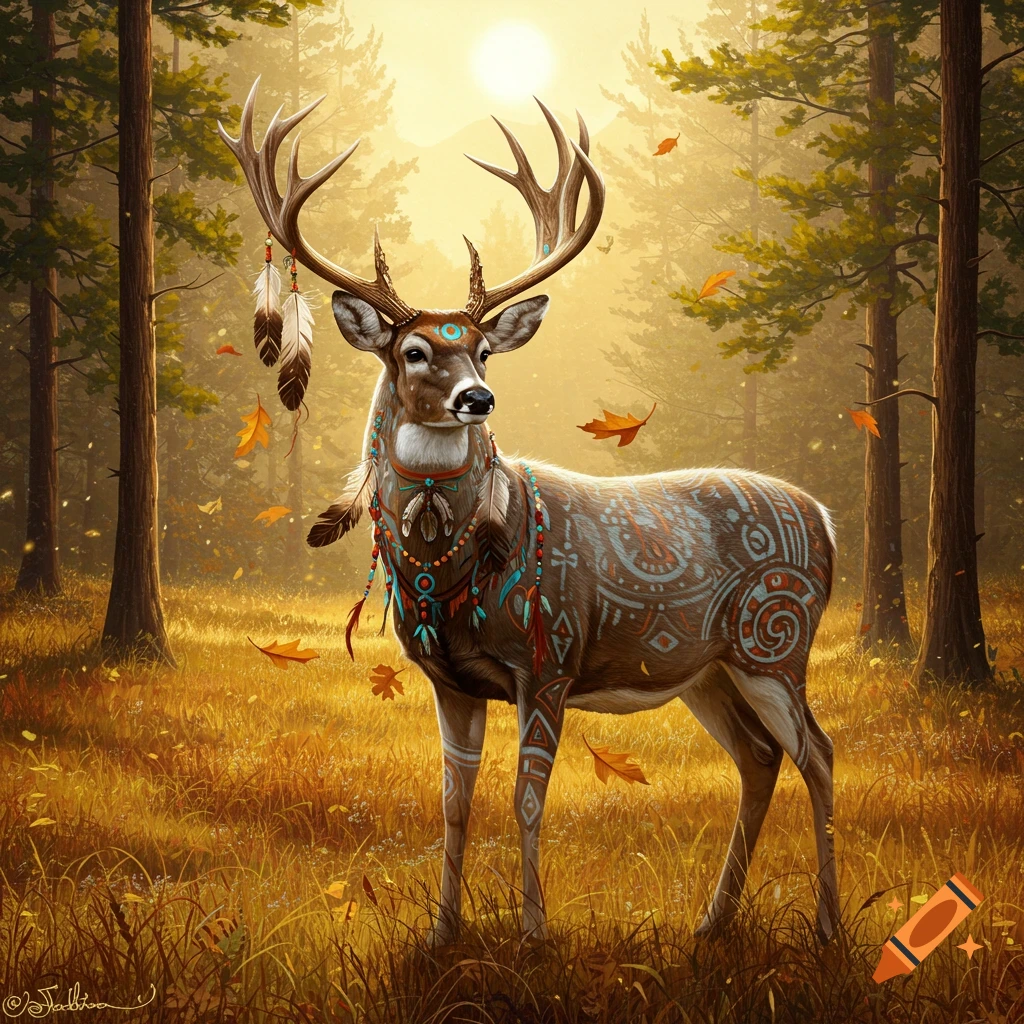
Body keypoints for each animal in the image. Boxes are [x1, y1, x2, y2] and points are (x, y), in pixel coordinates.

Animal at [219, 80, 839, 947]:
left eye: (482, 349)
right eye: (415, 351)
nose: (477, 397)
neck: (457, 570)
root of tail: (826, 518)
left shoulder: (551, 658)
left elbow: (527, 797)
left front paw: (535, 933)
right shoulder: (450, 680)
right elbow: (454, 802)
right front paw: (443, 932)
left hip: (774, 640)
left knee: (818, 752)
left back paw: (828, 926)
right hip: (707, 669)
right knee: (760, 758)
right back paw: (712, 924)